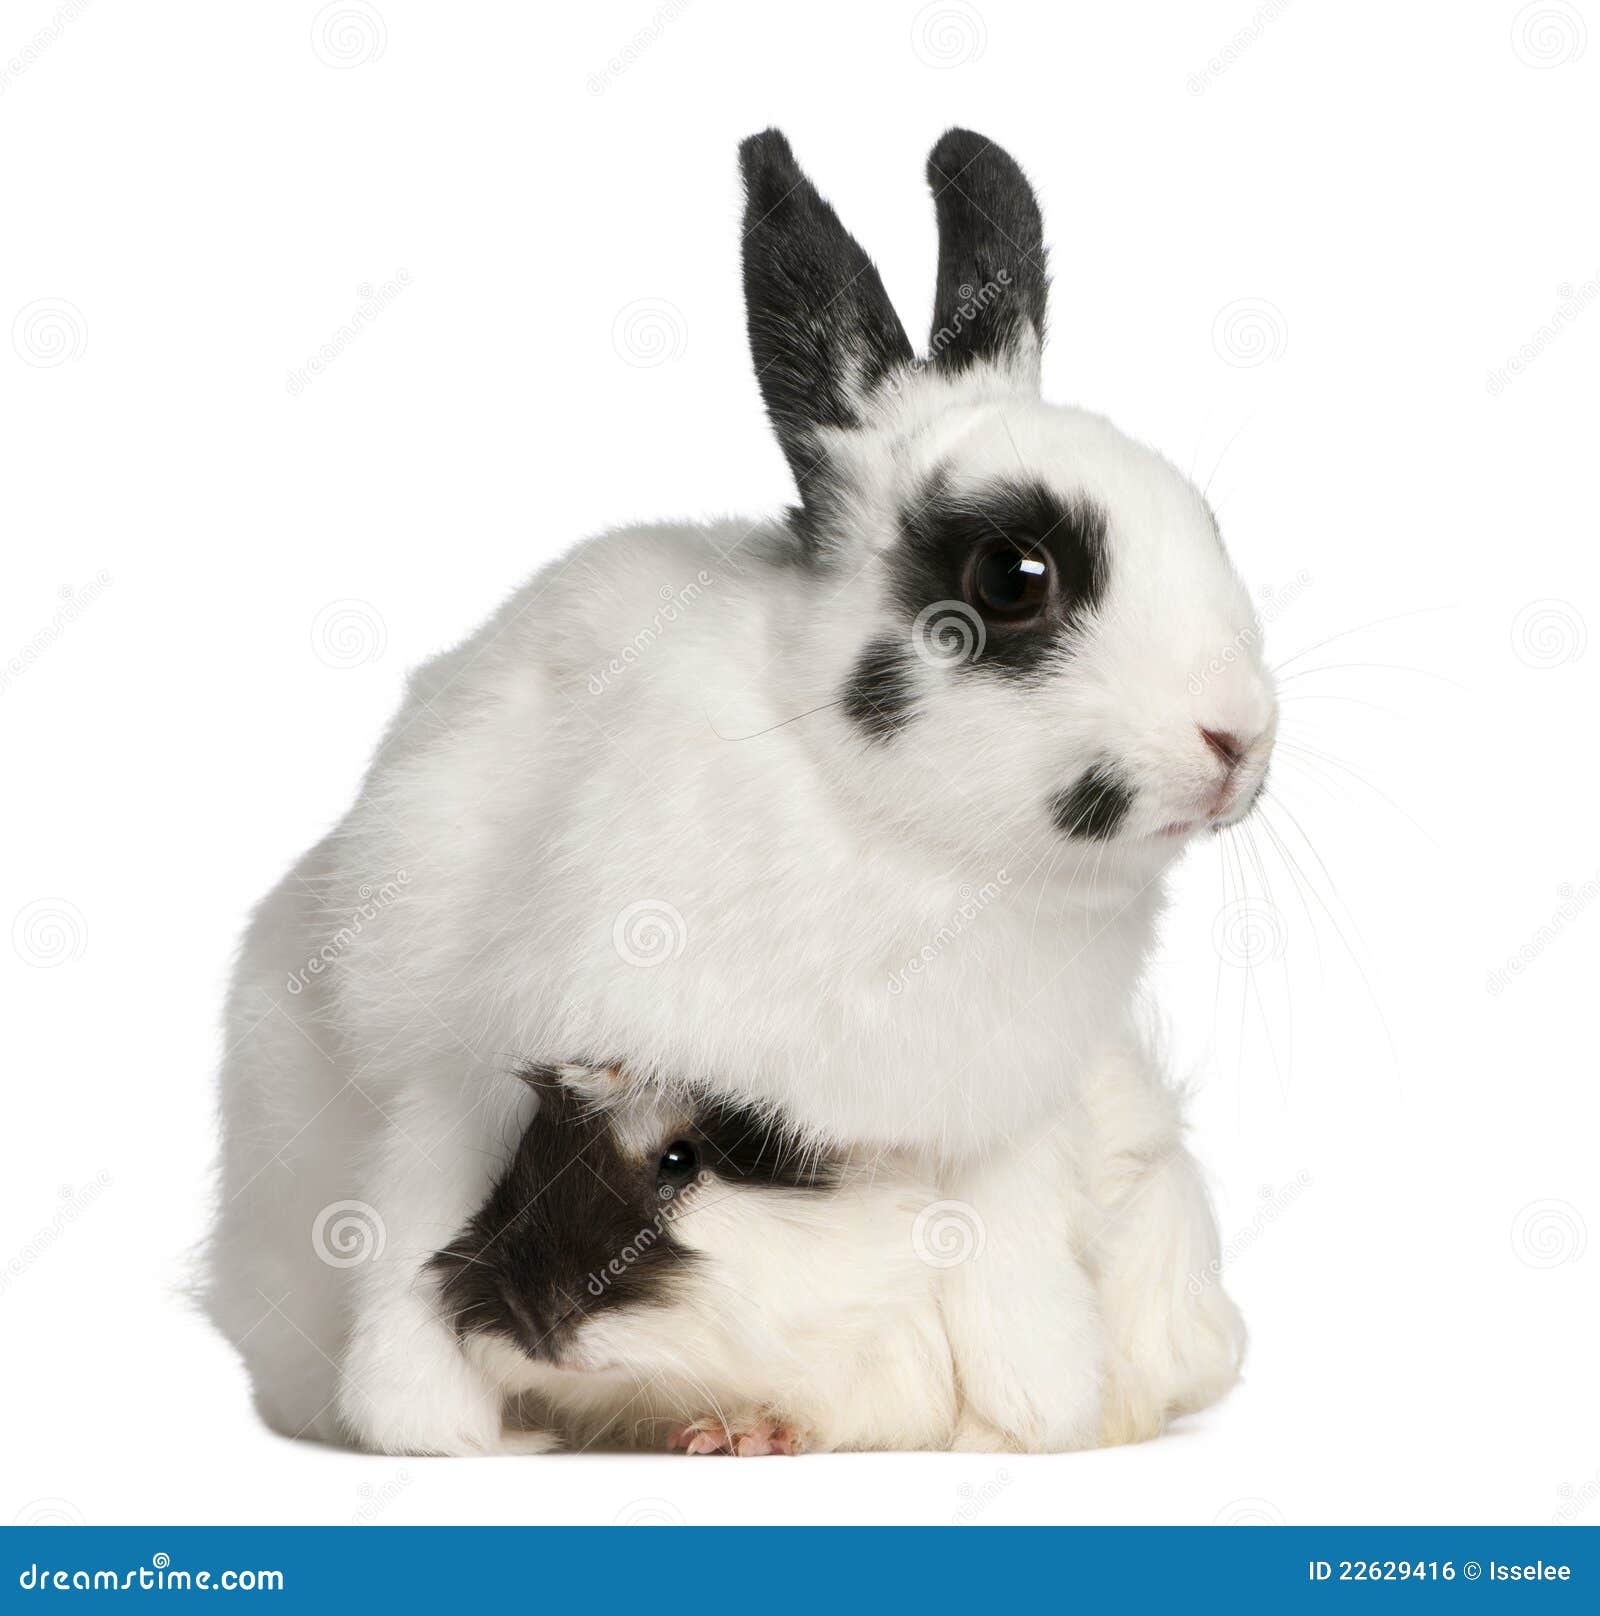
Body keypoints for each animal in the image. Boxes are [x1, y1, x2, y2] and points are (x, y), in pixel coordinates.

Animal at [203, 127, 1272, 1456]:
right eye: (1013, 575)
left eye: (1211, 526)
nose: (1240, 739)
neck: (891, 833)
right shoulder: (464, 1058)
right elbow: (412, 1227)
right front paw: (444, 1427)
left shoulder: (991, 1118)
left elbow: (1006, 1270)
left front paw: (1031, 1413)